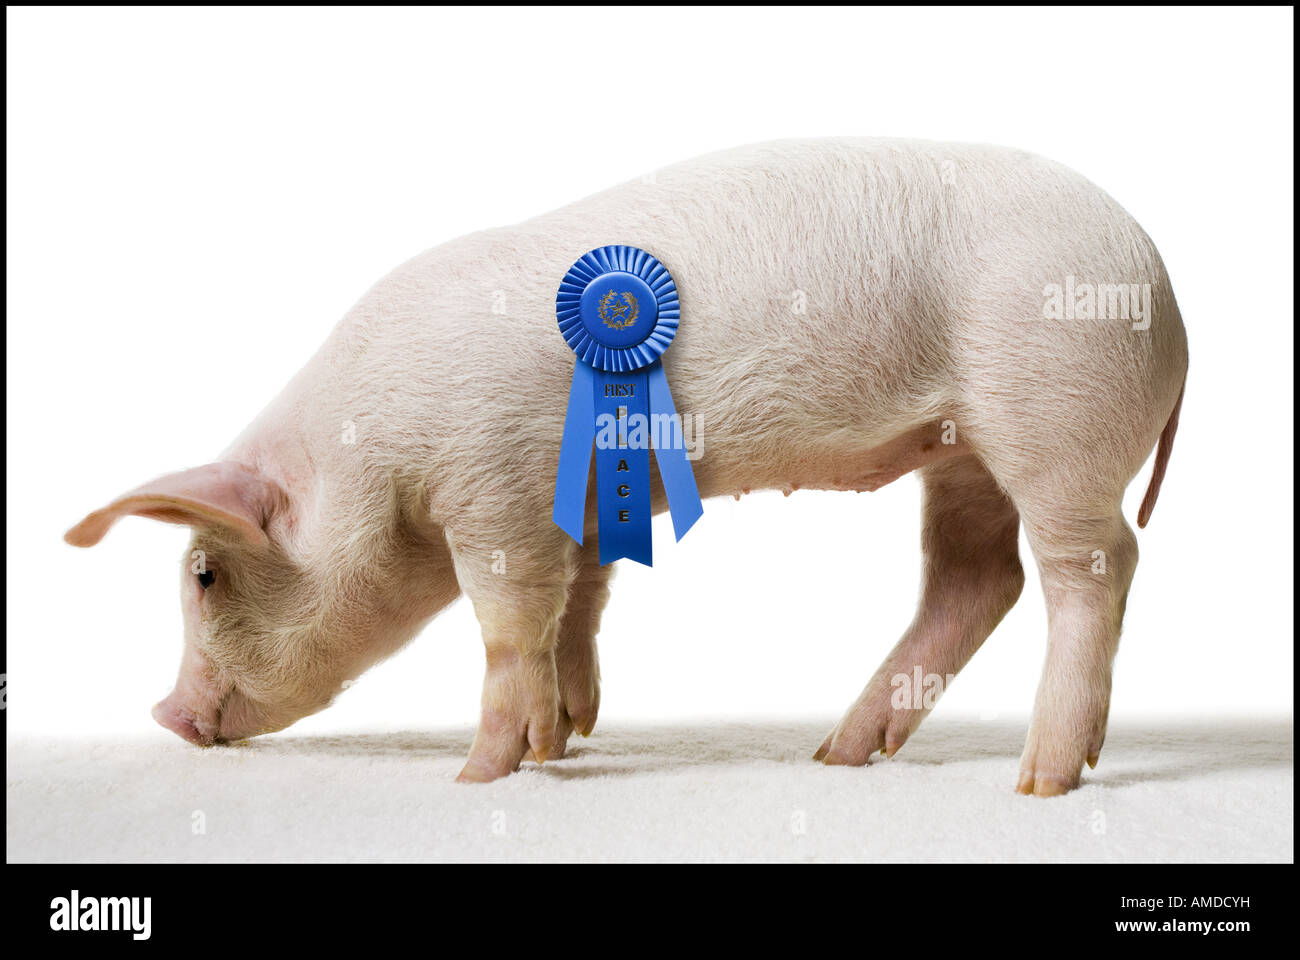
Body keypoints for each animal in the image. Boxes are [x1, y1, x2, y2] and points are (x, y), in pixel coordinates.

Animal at [66, 138, 1187, 796]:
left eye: (204, 575)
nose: (165, 717)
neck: (370, 457)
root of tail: (1164, 291)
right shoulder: (576, 505)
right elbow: (579, 605)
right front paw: (565, 740)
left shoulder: (493, 497)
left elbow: (510, 624)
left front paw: (478, 776)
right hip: (963, 449)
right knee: (975, 578)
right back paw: (839, 753)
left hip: (1053, 421)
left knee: (1094, 567)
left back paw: (1042, 779)